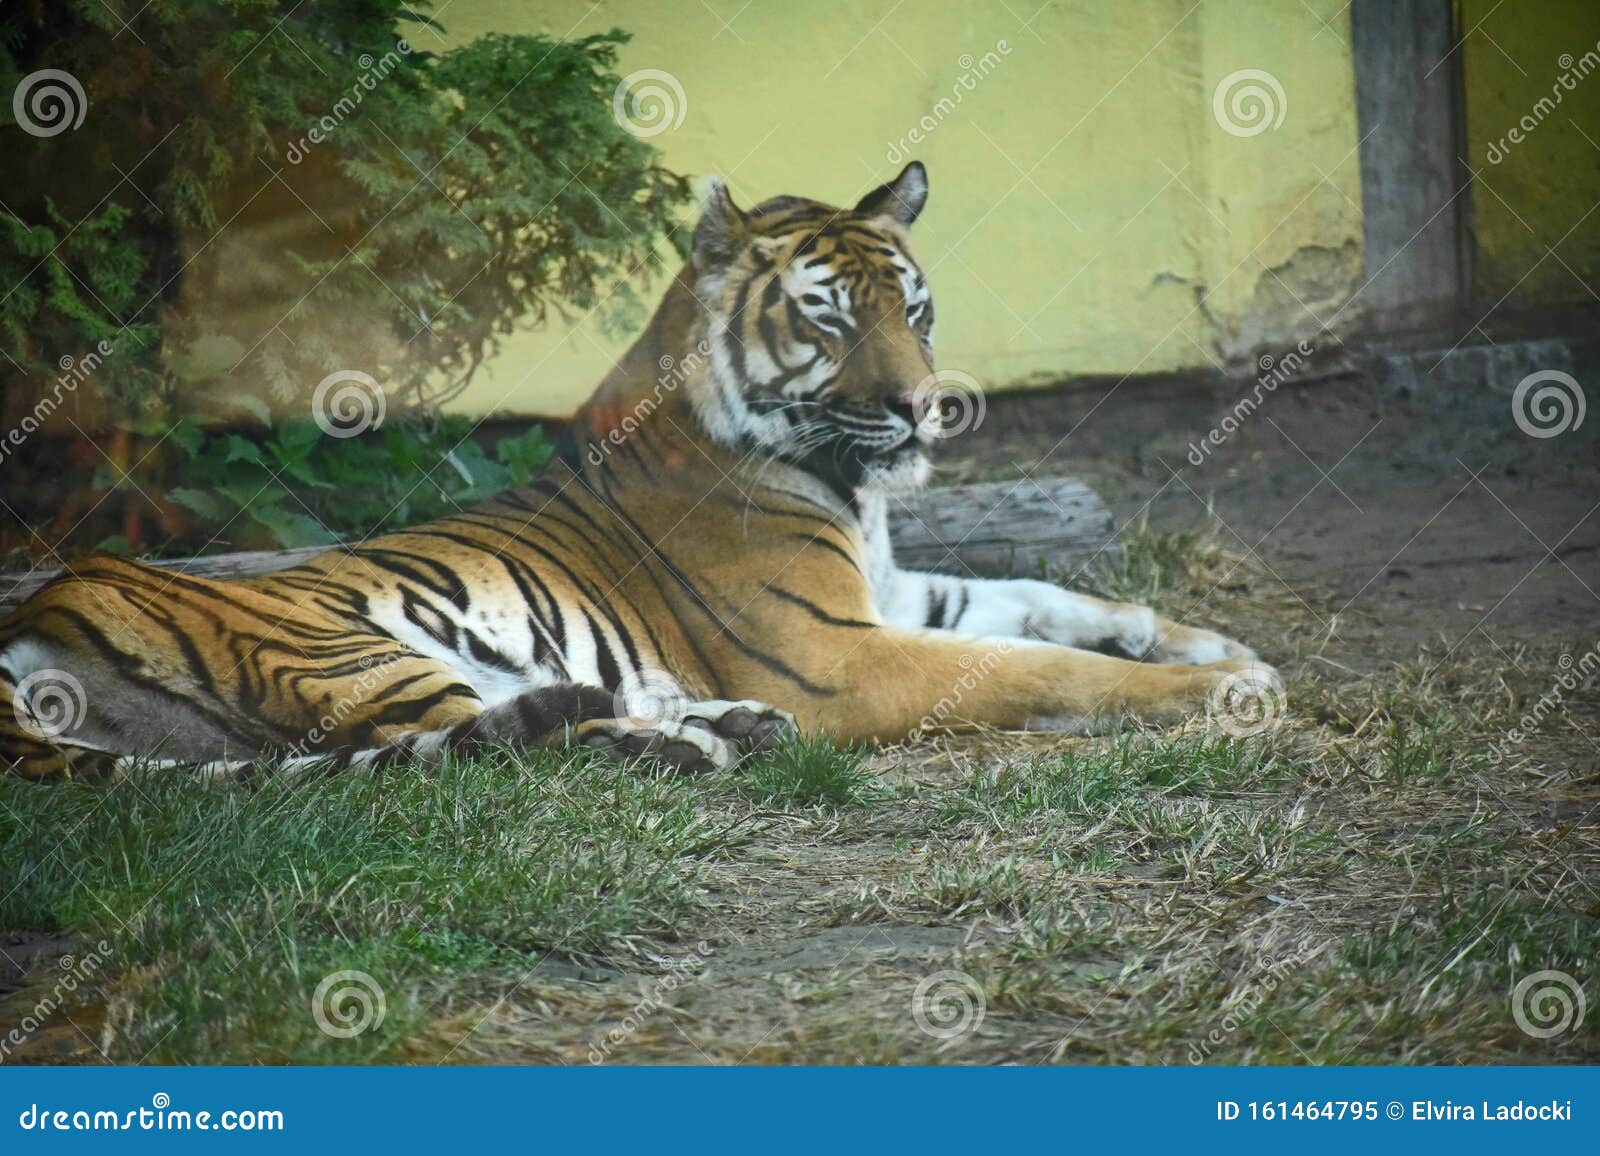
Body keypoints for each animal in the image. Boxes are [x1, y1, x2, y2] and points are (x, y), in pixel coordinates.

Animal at [0, 162, 1276, 781]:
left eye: (912, 307)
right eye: (829, 318)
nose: (926, 408)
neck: (848, 486)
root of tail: (44, 601)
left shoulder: (891, 590)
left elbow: (1044, 597)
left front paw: (1205, 641)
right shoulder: (840, 650)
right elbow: (1033, 663)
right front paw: (1222, 688)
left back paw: (726, 725)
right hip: (348, 650)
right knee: (483, 747)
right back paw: (692, 743)